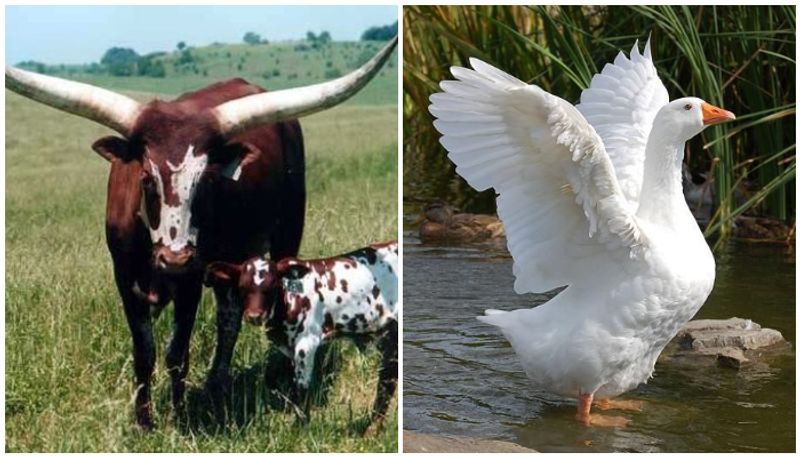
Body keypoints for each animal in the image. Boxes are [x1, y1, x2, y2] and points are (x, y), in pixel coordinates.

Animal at [204, 240, 399, 435]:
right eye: (242, 287)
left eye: (272, 286)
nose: (254, 315)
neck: (290, 300)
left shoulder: (307, 343)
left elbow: (302, 388)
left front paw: (301, 427)